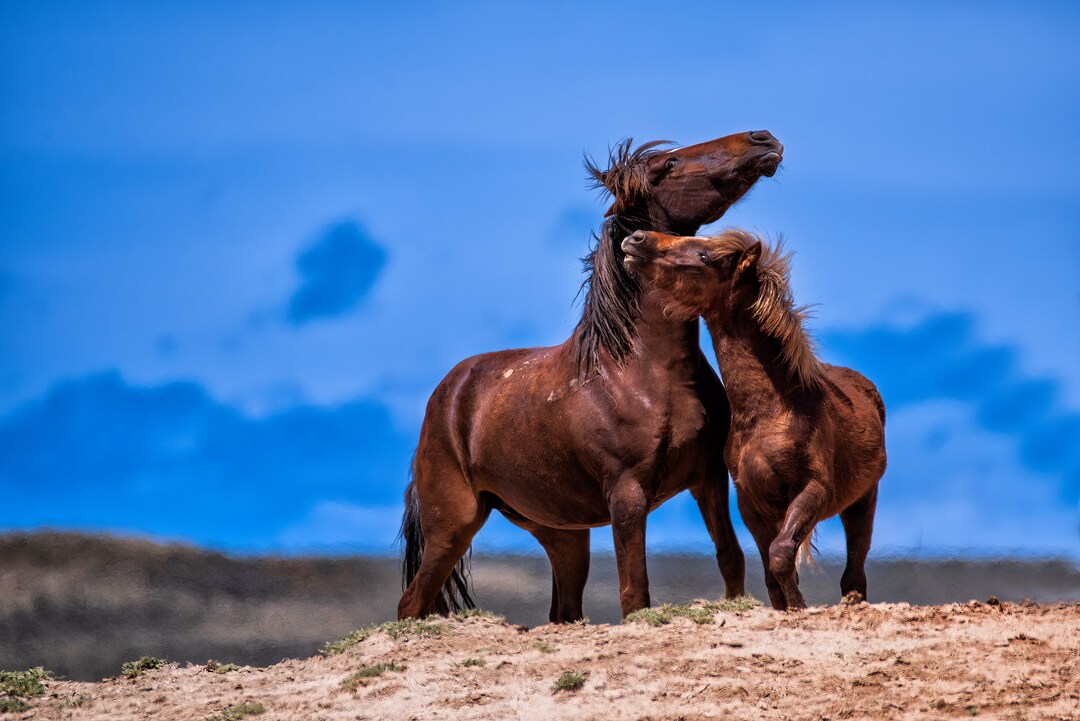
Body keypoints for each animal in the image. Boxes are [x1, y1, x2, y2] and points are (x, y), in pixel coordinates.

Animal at [398, 131, 785, 621]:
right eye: (670, 164)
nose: (762, 139)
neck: (637, 372)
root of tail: (447, 393)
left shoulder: (709, 479)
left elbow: (730, 560)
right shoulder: (627, 496)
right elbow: (634, 593)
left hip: (562, 534)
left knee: (562, 611)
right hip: (453, 525)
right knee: (411, 603)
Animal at [620, 229, 887, 610]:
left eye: (704, 256)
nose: (636, 239)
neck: (771, 414)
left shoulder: (815, 489)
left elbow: (780, 554)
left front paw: (799, 607)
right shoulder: (750, 501)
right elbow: (772, 571)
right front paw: (787, 606)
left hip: (863, 498)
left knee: (856, 562)